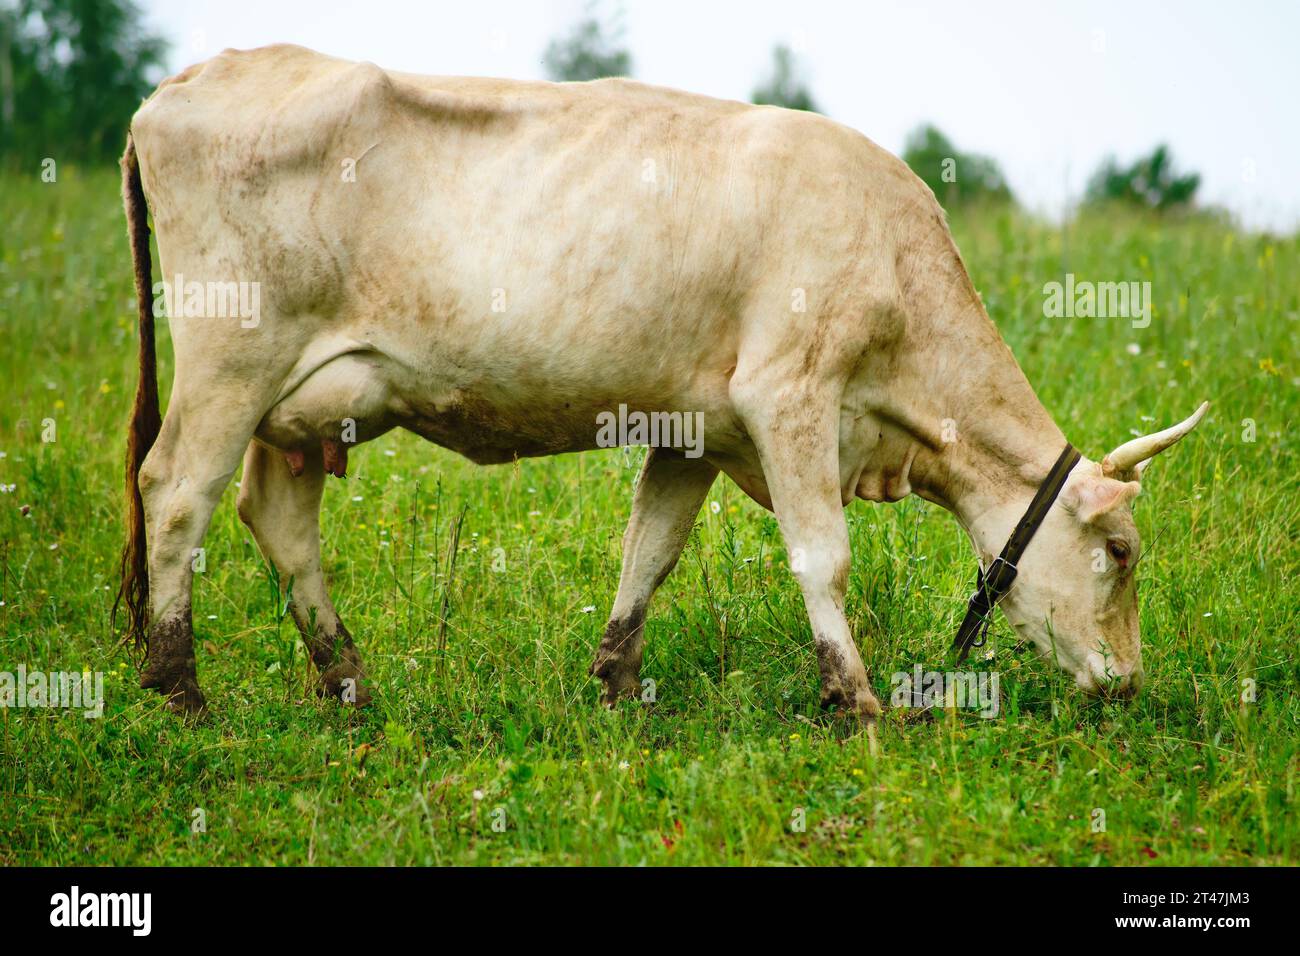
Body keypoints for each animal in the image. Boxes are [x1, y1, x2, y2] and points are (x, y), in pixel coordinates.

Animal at [115, 45, 1206, 724]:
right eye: (1118, 551)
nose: (1128, 681)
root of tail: (190, 78)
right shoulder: (790, 393)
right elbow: (823, 556)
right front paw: (854, 700)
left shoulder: (697, 429)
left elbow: (651, 552)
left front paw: (613, 682)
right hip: (232, 357)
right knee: (176, 491)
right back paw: (179, 689)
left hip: (302, 407)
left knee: (277, 518)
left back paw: (348, 681)